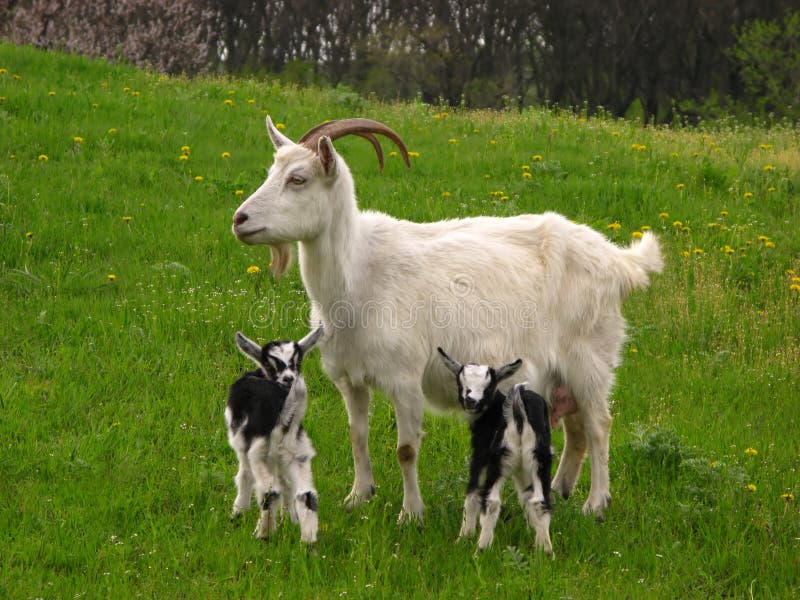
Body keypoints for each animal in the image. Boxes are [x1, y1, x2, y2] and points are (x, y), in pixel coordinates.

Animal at [226, 325, 324, 543]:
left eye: (296, 362)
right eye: (272, 366)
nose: (289, 378)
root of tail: (286, 414)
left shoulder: (243, 446)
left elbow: (244, 476)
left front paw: (238, 512)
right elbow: (287, 484)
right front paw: (290, 519)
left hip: (260, 452)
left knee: (270, 492)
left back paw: (263, 535)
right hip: (297, 451)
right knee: (307, 495)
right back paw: (308, 542)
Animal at [231, 117, 663, 523]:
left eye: (298, 179)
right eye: (272, 171)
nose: (240, 219)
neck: (360, 271)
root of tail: (620, 263)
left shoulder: (405, 377)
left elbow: (406, 449)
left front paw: (411, 514)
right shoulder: (350, 378)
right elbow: (357, 435)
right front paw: (358, 496)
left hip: (589, 356)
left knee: (598, 424)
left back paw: (596, 504)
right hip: (563, 371)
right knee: (575, 429)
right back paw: (559, 490)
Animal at [438, 348, 553, 553]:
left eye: (488, 387)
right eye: (461, 383)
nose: (472, 401)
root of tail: (518, 406)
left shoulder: (480, 456)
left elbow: (473, 493)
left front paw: (463, 538)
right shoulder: (522, 470)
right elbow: (527, 496)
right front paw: (533, 534)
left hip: (499, 459)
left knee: (491, 501)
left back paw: (481, 549)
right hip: (540, 459)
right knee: (541, 501)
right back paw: (546, 552)